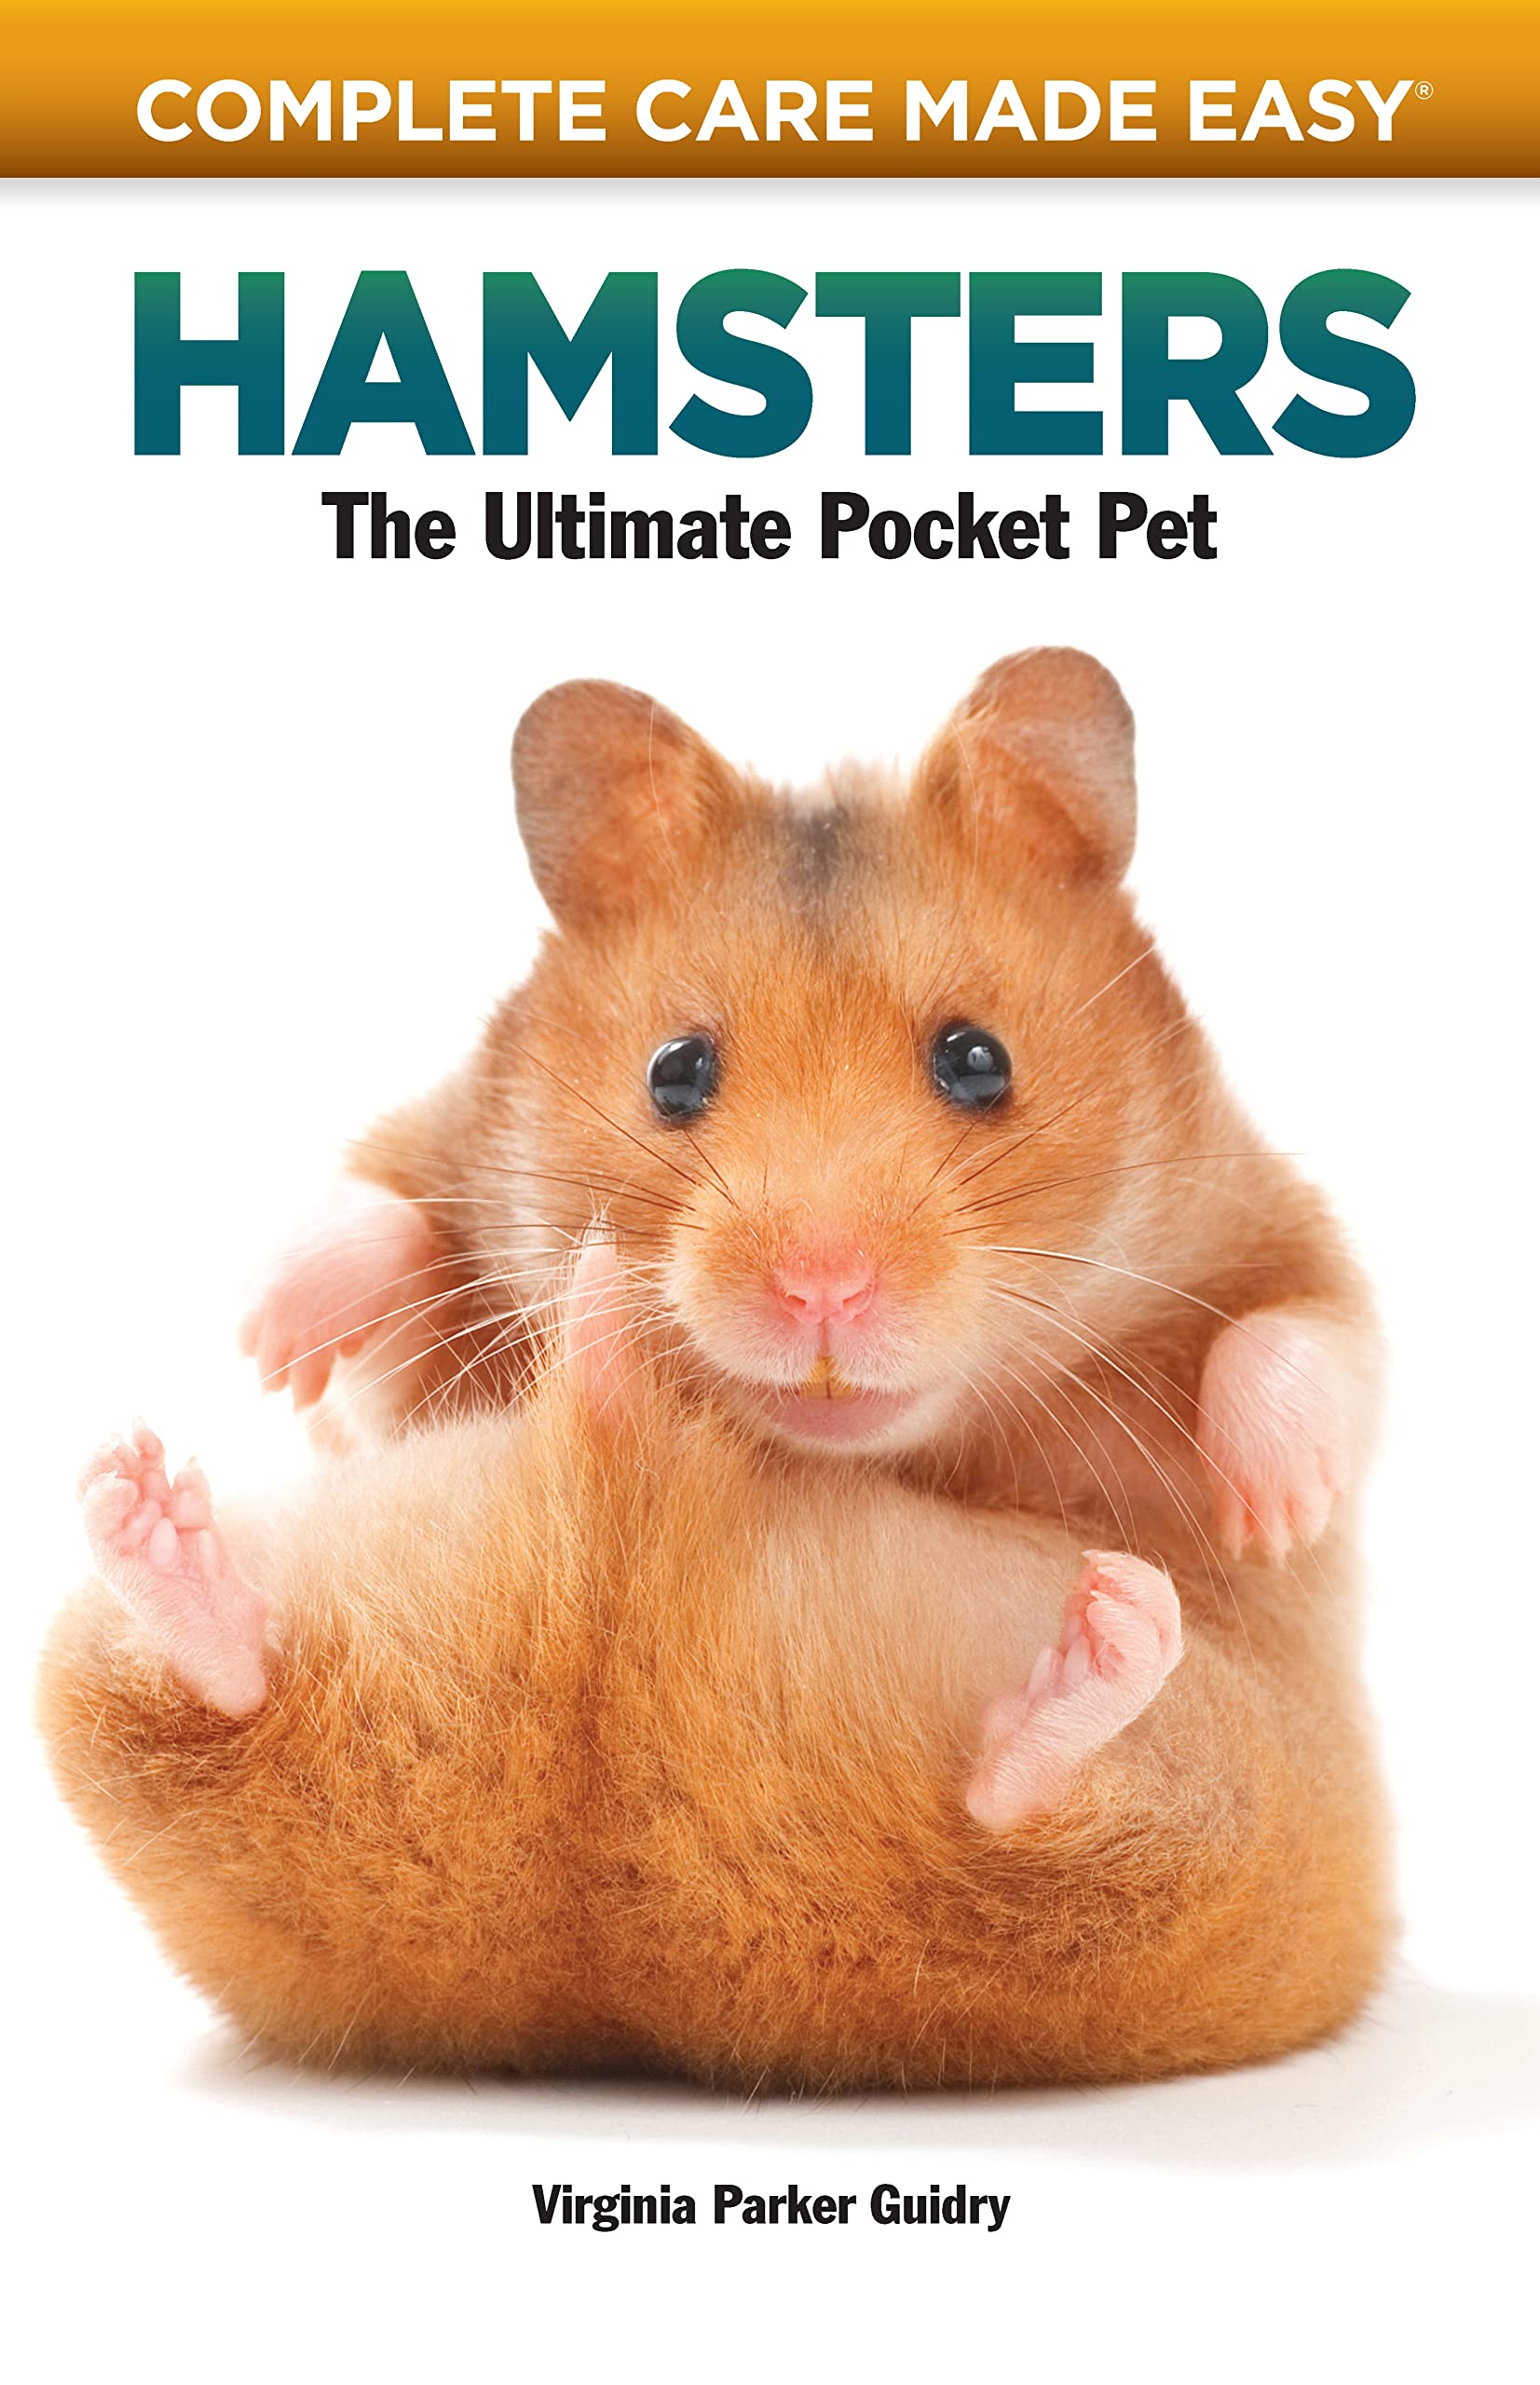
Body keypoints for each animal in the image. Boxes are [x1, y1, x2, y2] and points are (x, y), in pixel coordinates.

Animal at [244, 646, 1378, 1579]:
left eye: (979, 1061)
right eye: (674, 1072)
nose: (821, 1288)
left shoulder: (1265, 1214)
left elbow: (1308, 1337)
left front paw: (1275, 1517)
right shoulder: (440, 1249)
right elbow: (373, 1251)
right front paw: (272, 1353)